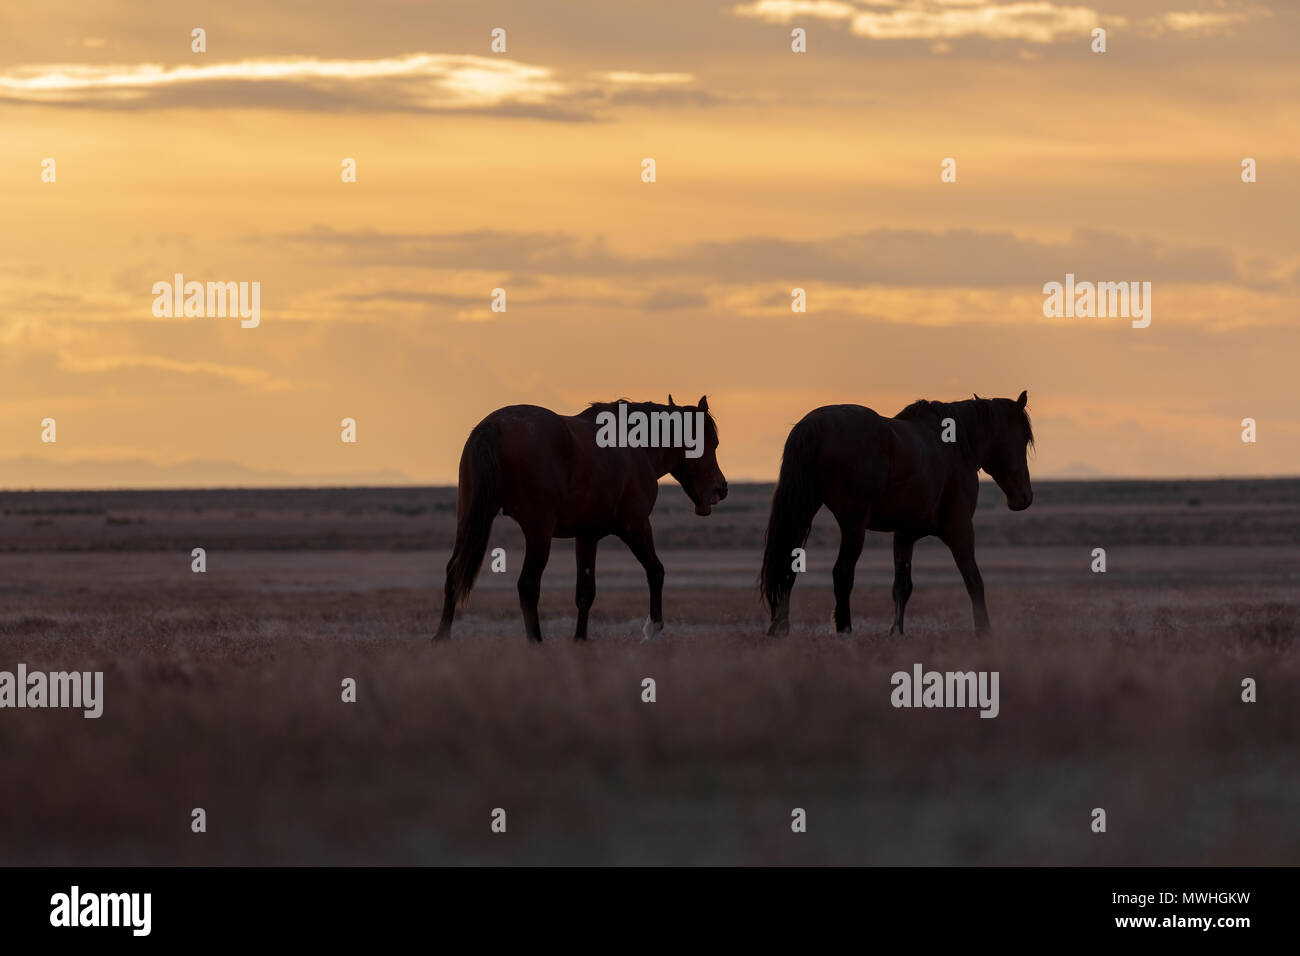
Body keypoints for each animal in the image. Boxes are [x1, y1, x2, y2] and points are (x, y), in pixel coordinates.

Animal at [434, 396, 727, 643]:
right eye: (710, 443)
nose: (720, 489)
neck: (636, 447)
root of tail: (493, 426)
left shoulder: (587, 536)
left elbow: (586, 591)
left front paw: (580, 639)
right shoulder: (636, 526)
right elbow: (656, 571)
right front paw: (652, 629)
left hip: (468, 521)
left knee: (453, 572)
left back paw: (442, 637)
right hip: (539, 532)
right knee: (528, 584)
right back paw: (535, 641)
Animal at [759, 391, 1034, 637]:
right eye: (1024, 439)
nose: (1025, 497)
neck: (955, 447)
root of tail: (813, 425)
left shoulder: (904, 535)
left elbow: (902, 586)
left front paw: (897, 631)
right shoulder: (959, 528)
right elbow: (973, 579)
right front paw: (984, 630)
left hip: (804, 512)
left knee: (788, 564)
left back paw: (779, 627)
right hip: (853, 526)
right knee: (842, 572)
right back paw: (844, 630)